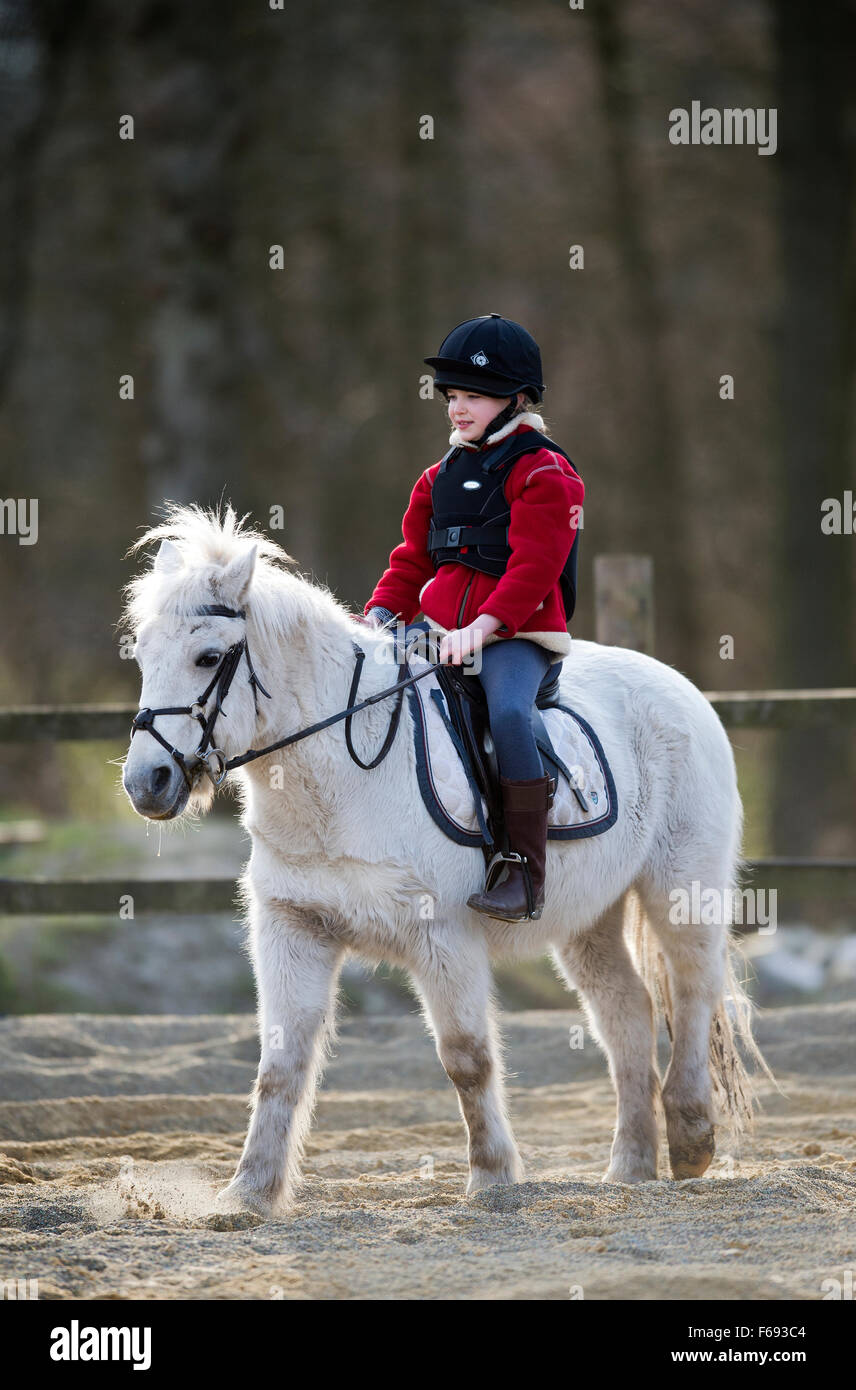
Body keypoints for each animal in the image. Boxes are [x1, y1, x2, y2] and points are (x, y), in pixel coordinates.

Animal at [120, 503, 770, 1218]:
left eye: (209, 656)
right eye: (143, 654)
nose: (146, 782)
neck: (343, 776)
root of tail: (682, 689)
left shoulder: (443, 937)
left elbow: (467, 1058)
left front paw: (492, 1180)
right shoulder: (293, 928)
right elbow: (280, 1066)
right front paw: (248, 1194)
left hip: (681, 889)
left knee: (694, 989)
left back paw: (691, 1139)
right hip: (586, 919)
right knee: (627, 1014)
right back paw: (629, 1168)